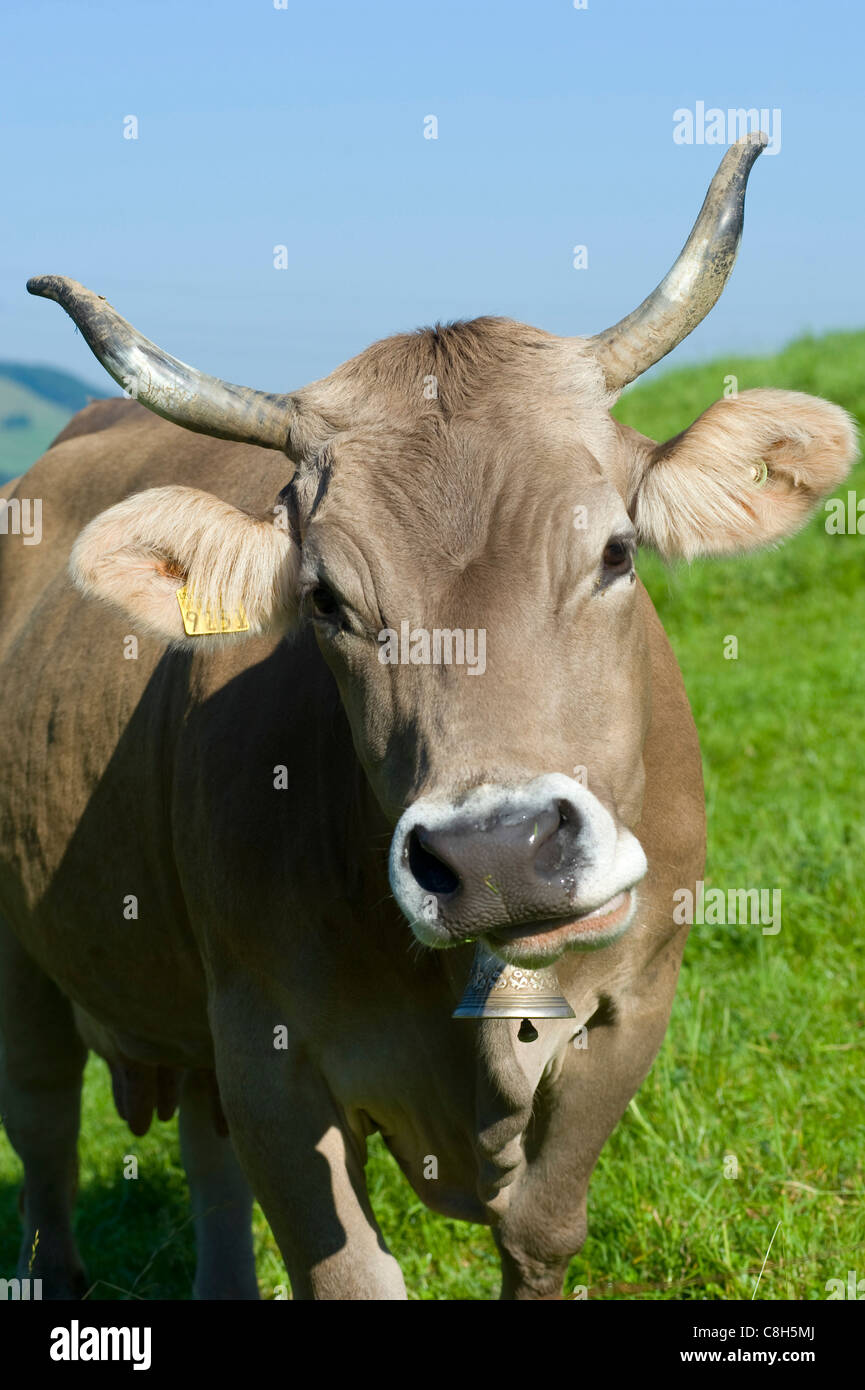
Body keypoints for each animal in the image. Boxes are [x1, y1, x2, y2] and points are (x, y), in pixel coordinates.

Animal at [0, 131, 856, 1300]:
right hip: (23, 957)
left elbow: (542, 1224)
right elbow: (350, 1273)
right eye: (325, 600)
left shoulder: (638, 999)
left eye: (616, 551)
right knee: (43, 1123)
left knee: (199, 1151)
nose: (496, 852)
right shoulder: (269, 1051)